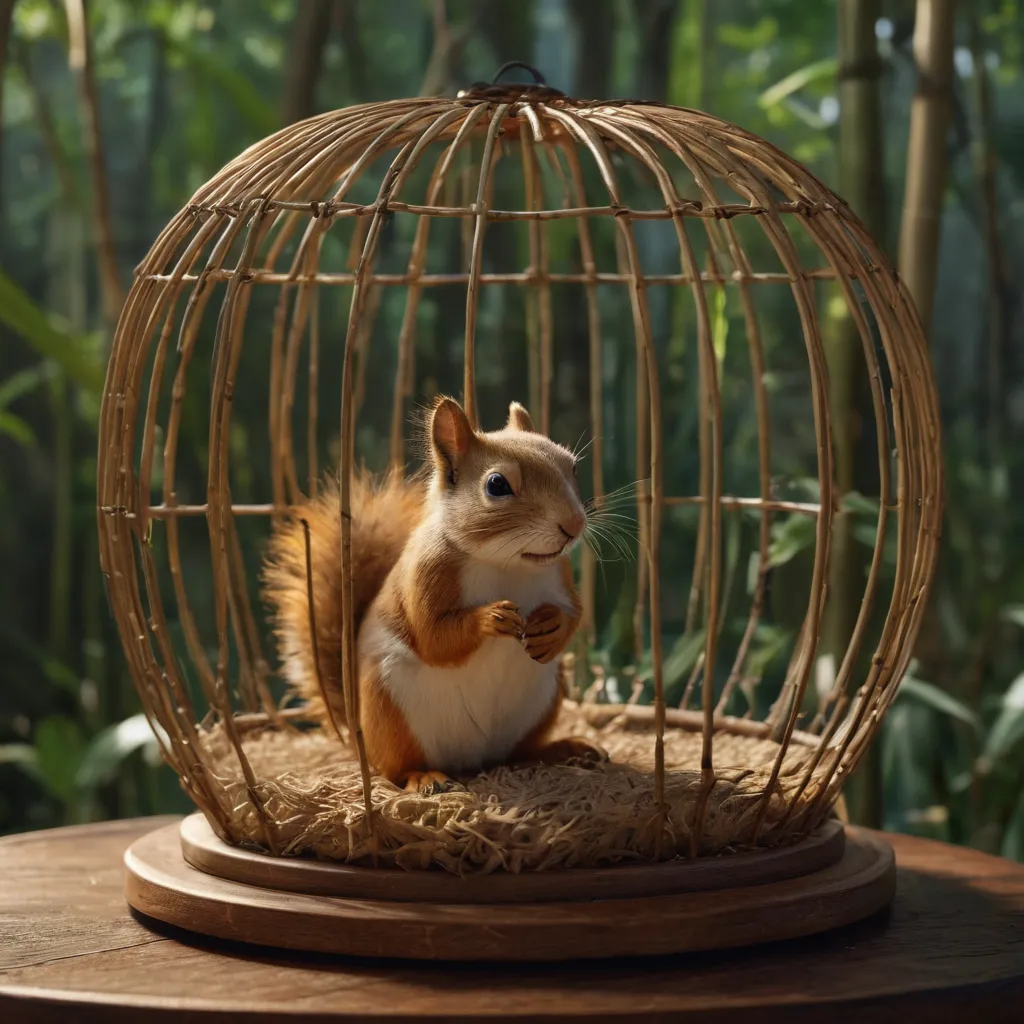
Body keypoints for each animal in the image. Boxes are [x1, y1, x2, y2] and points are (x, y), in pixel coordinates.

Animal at [262, 396, 604, 795]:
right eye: (497, 485)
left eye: (572, 466)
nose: (574, 525)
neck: (507, 563)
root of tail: (473, 760)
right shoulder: (428, 574)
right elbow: (434, 638)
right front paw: (491, 618)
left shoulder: (558, 574)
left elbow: (575, 613)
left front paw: (552, 626)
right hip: (390, 712)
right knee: (395, 767)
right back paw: (425, 776)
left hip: (542, 702)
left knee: (522, 753)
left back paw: (567, 750)